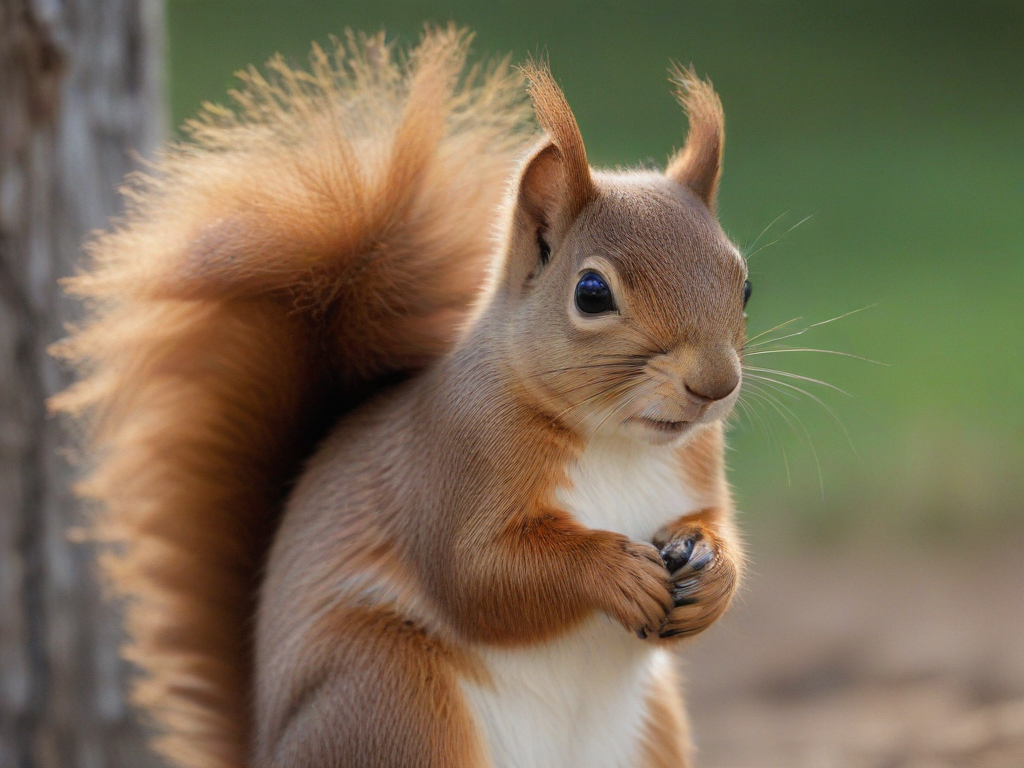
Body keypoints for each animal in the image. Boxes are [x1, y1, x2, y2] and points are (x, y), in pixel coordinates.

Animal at [52, 26, 748, 768]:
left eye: (744, 283)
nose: (715, 385)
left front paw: (714, 573)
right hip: (394, 693)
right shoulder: (453, 460)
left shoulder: (696, 468)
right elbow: (478, 576)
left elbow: (715, 524)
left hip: (653, 727)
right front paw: (616, 572)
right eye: (591, 294)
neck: (616, 439)